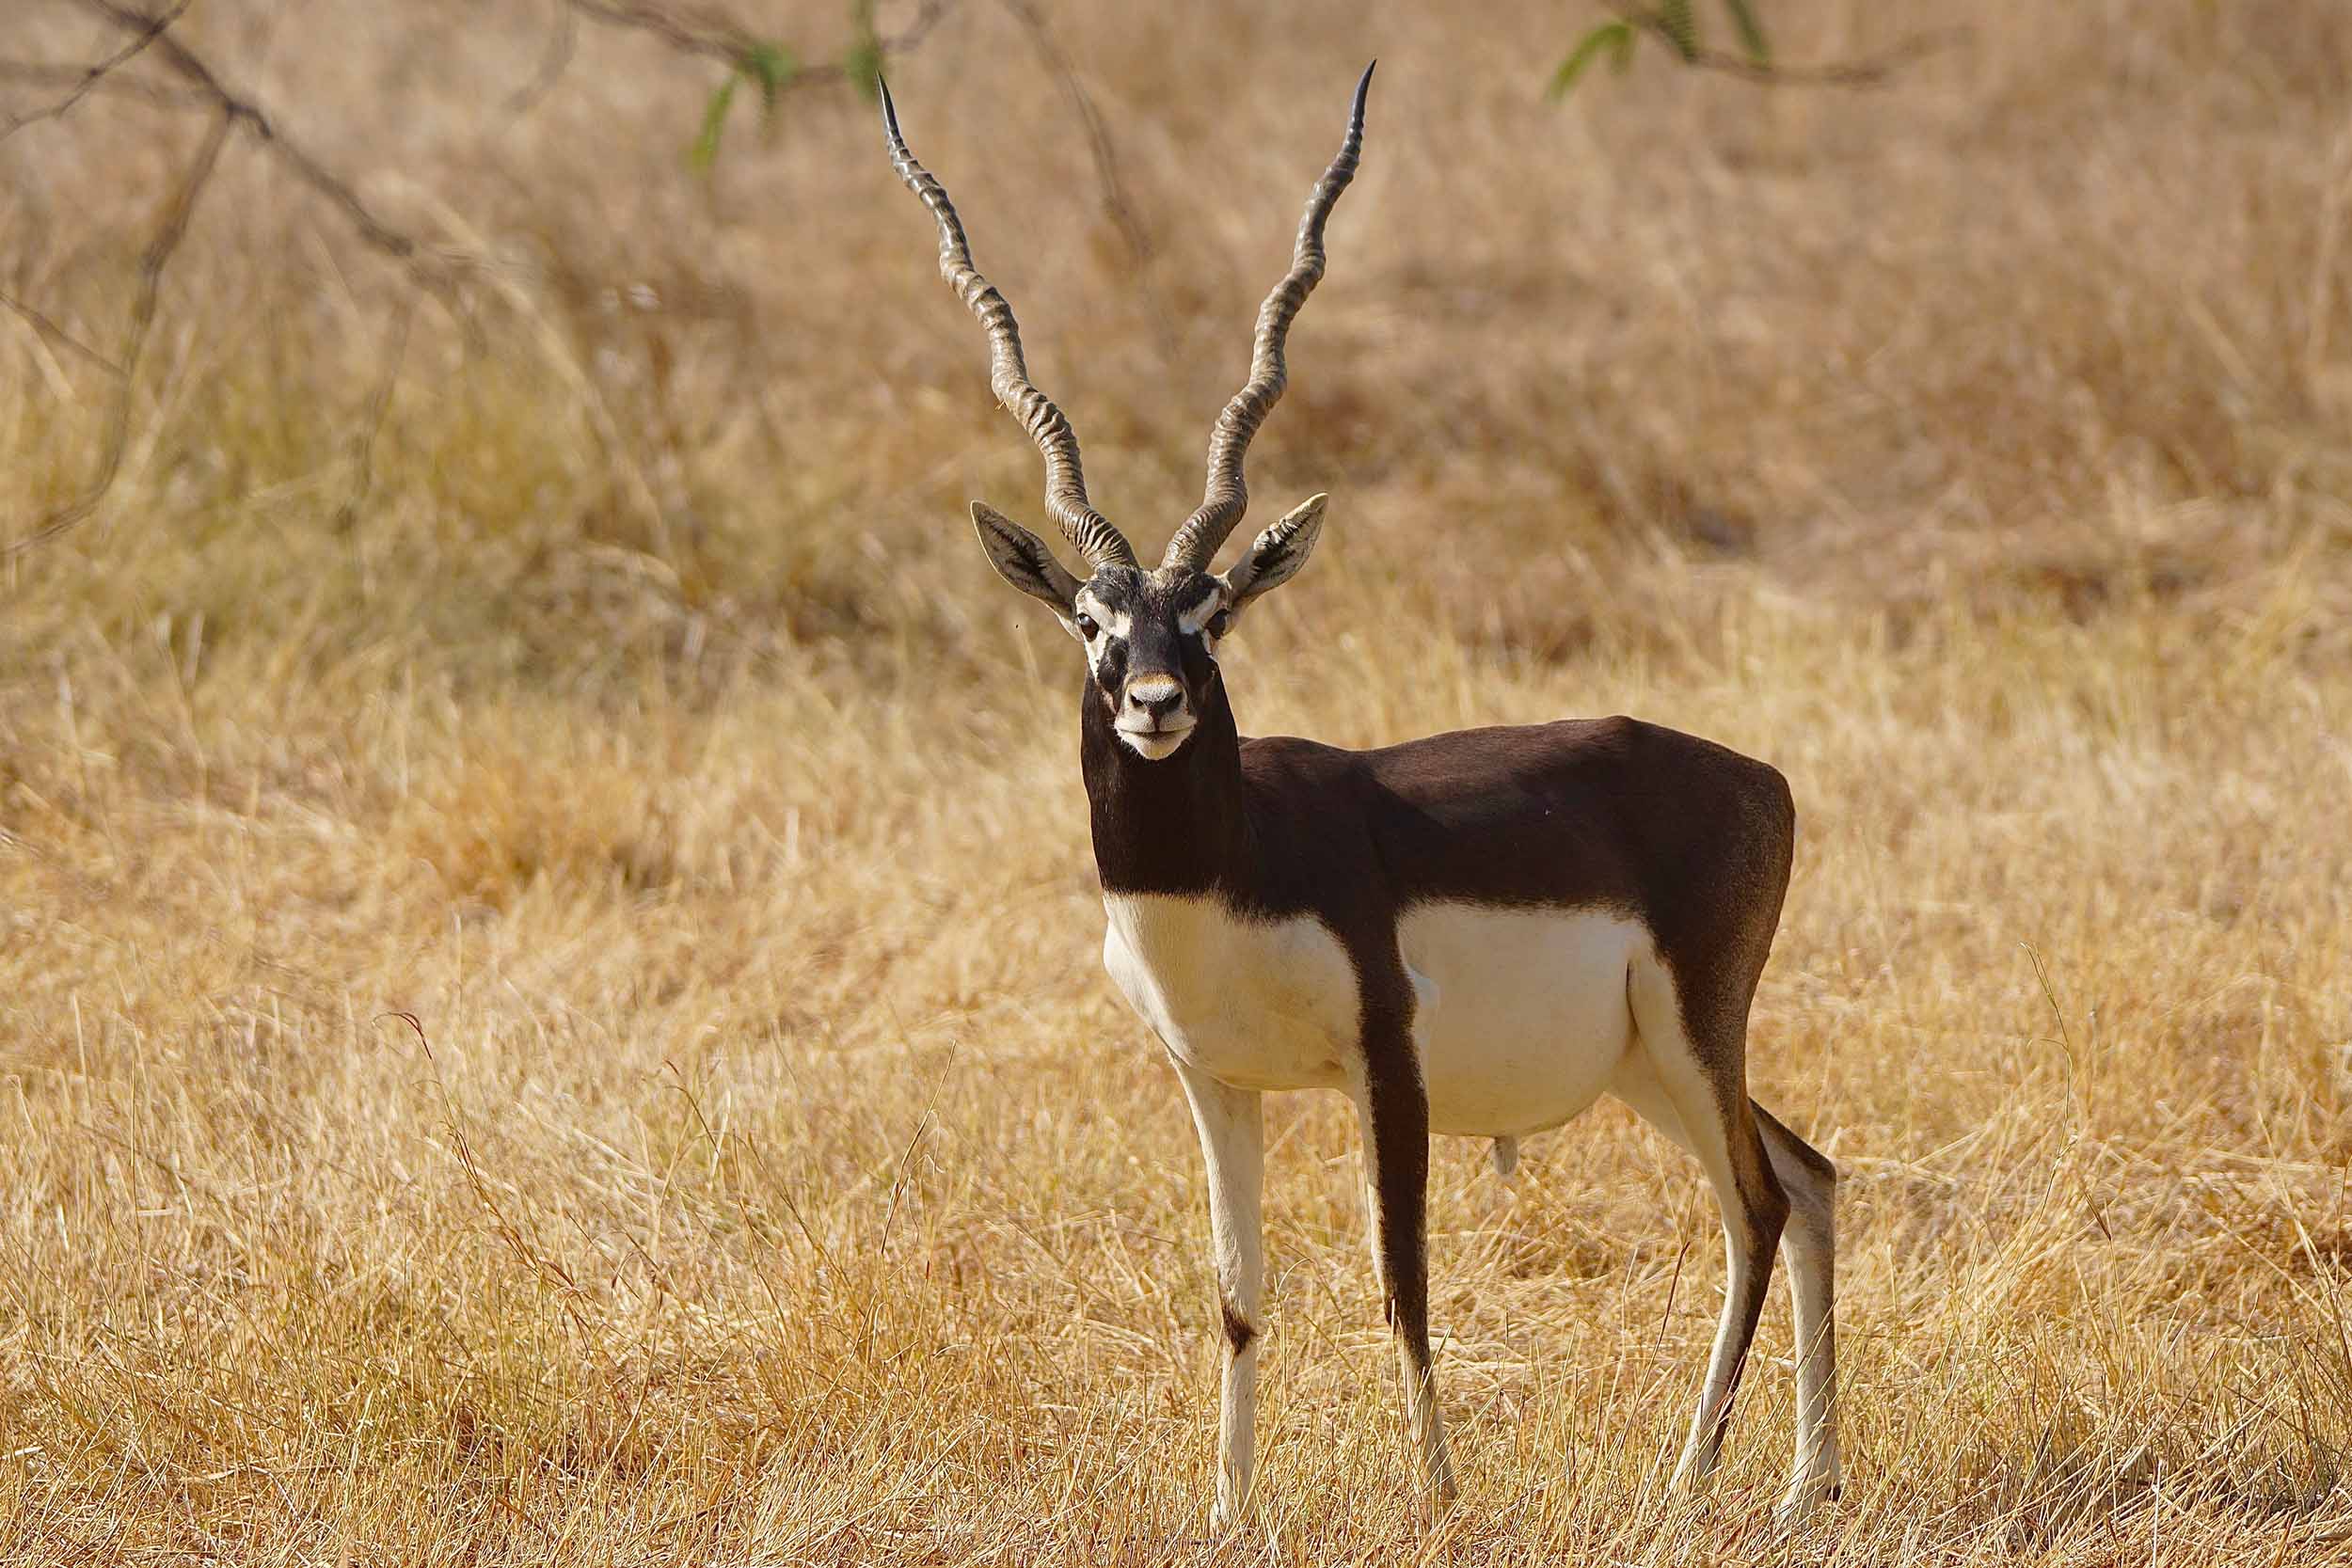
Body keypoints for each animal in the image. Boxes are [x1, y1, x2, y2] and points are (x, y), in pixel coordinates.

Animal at [879, 66, 1841, 1527]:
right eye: (1092, 620)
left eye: (1211, 614)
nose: (1154, 702)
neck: (1220, 873)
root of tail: (1755, 776)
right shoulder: (1212, 1079)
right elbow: (1236, 1291)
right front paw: (1227, 1511)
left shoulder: (1388, 1057)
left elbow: (1403, 1281)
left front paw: (1436, 1498)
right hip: (1647, 1058)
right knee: (1810, 1172)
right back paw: (1807, 1486)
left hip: (1691, 1028)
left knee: (1757, 1202)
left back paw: (1693, 1479)